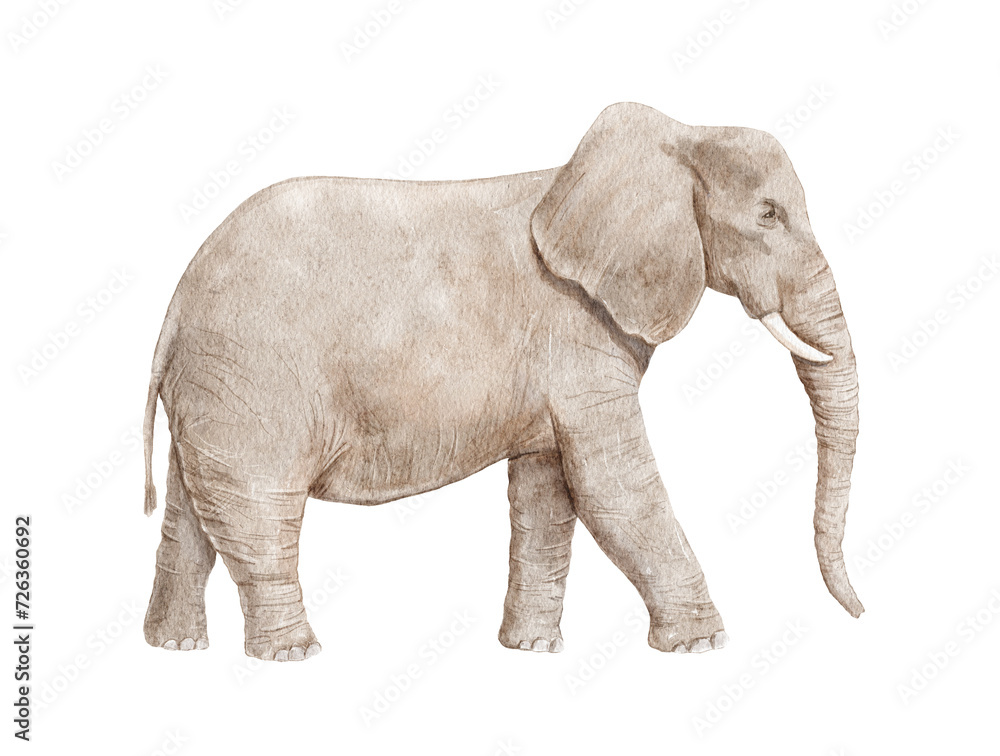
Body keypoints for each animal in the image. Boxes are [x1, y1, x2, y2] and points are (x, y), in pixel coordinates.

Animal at [142, 101, 862, 662]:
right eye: (769, 215)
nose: (858, 613)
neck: (679, 136)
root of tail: (175, 303)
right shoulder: (575, 332)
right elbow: (612, 486)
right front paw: (704, 646)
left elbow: (549, 490)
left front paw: (532, 650)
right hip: (256, 377)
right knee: (260, 507)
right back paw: (294, 655)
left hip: (217, 385)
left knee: (191, 515)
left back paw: (175, 647)